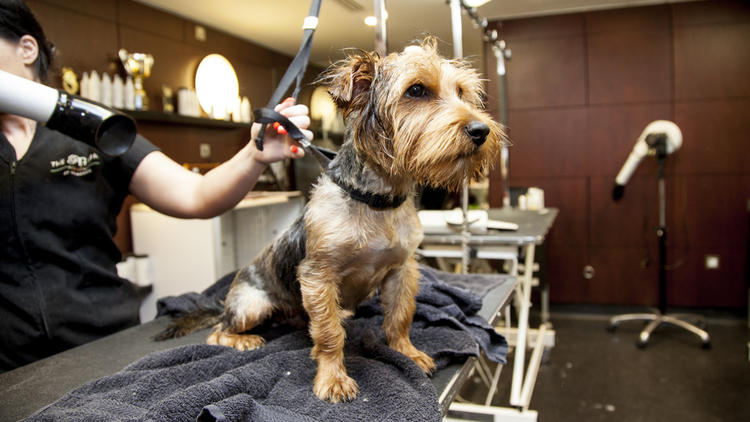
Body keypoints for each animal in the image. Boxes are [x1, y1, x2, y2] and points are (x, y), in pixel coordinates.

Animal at [162, 38, 508, 402]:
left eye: (462, 92)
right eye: (416, 90)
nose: (482, 130)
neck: (377, 201)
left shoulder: (402, 270)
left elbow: (400, 317)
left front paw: (406, 352)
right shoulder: (318, 277)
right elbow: (328, 333)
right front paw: (333, 378)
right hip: (250, 305)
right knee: (218, 331)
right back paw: (242, 339)